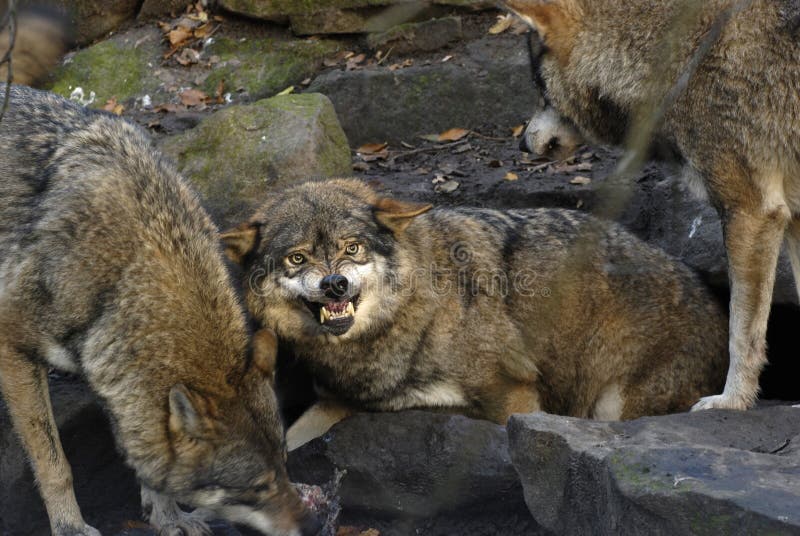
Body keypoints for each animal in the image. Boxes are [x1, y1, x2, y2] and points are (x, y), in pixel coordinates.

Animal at [0, 85, 320, 536]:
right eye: (256, 488)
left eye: (286, 463)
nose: (313, 525)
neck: (125, 269)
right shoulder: (13, 349)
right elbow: (53, 463)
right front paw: (69, 527)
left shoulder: (113, 376)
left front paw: (168, 518)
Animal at [221, 179, 728, 449]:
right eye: (298, 258)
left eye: (352, 248)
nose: (334, 285)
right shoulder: (337, 402)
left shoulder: (513, 398)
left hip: (614, 403)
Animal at [507, 0, 800, 411]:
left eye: (538, 86)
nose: (521, 145)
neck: (686, 54)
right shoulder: (790, 215)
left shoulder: (751, 209)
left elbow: (741, 332)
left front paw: (730, 401)